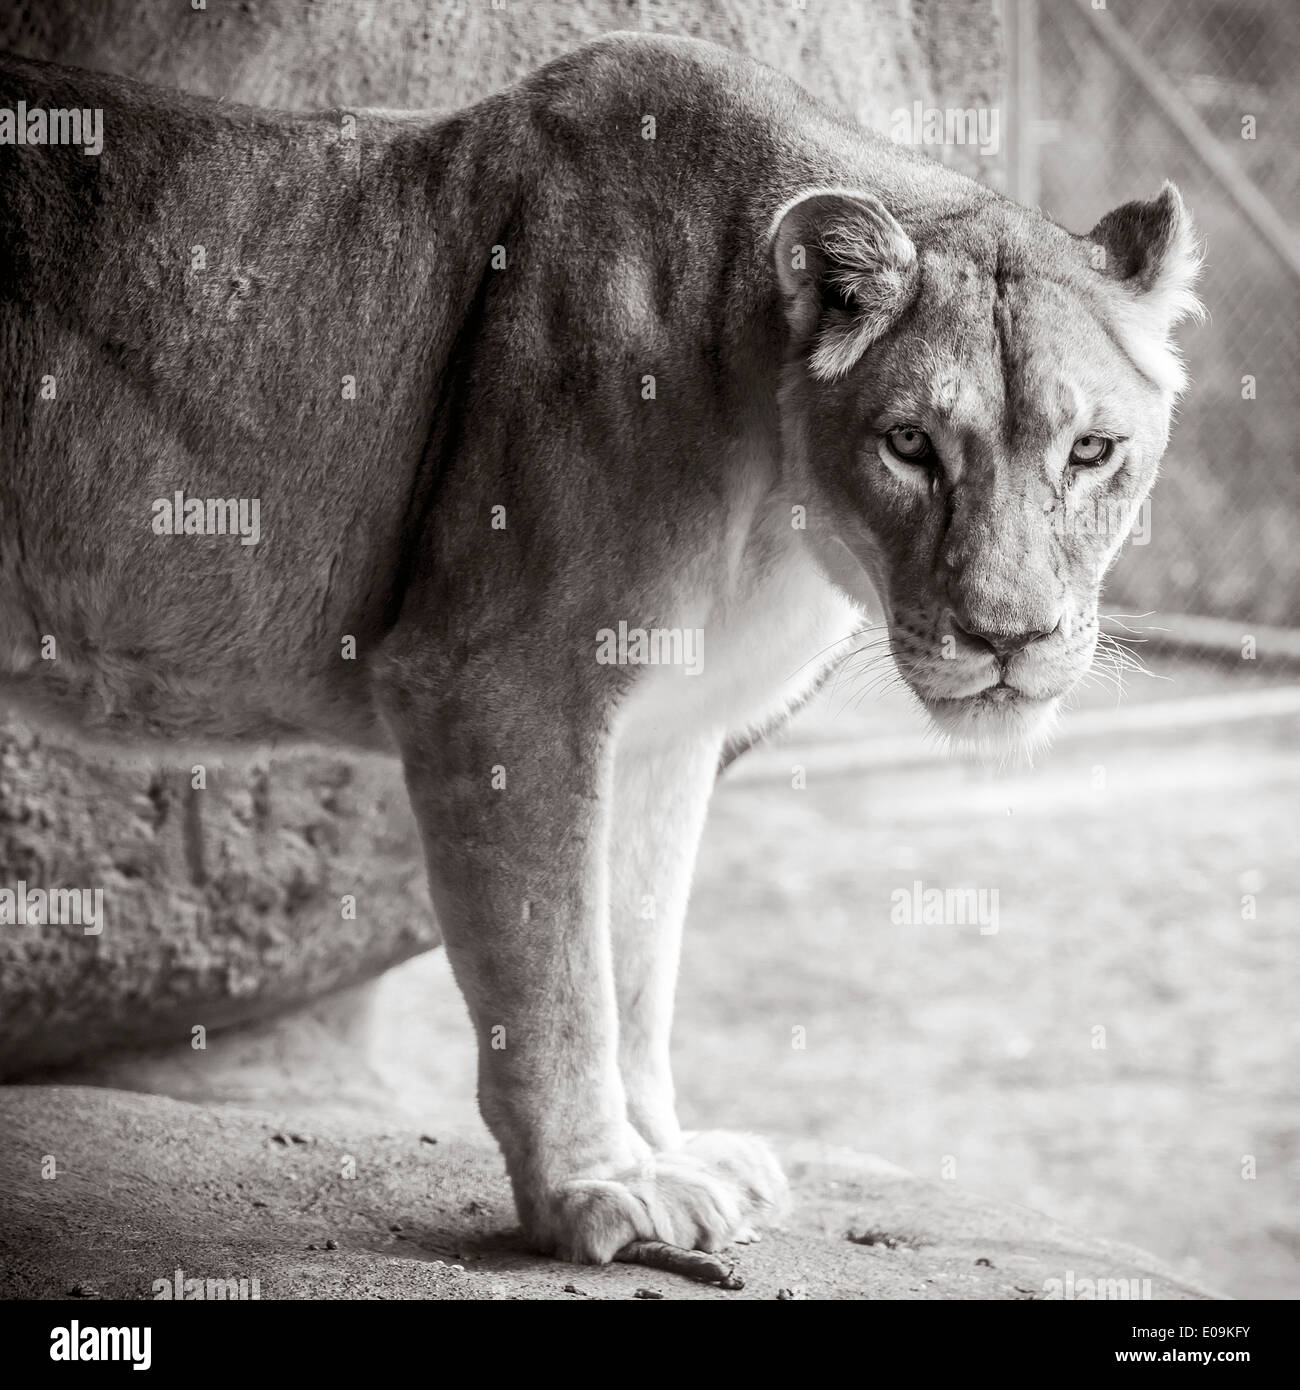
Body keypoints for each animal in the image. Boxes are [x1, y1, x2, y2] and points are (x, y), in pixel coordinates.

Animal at [0, 33, 1200, 1262]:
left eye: (1092, 451)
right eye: (909, 444)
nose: (1007, 636)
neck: (775, 498)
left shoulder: (664, 726)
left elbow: (636, 954)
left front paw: (668, 1154)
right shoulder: (501, 681)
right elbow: (557, 968)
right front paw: (597, 1188)